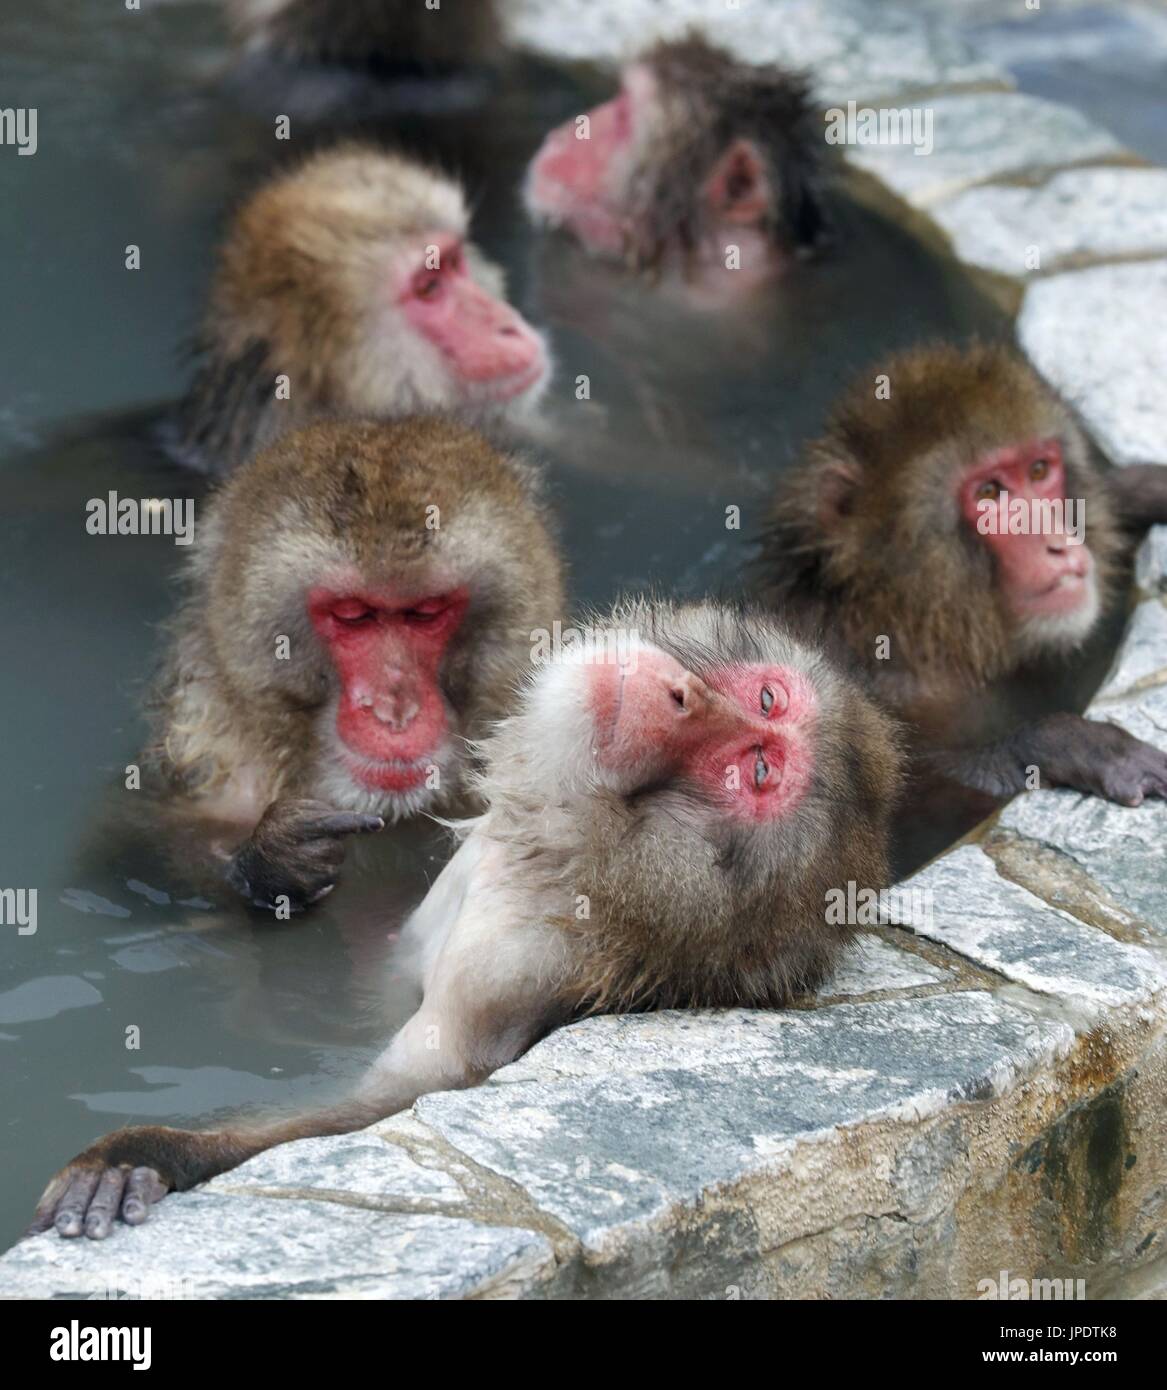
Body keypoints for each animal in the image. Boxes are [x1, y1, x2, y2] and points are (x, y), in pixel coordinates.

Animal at [28, 597, 904, 1238]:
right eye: (766, 698)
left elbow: (381, 1106)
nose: (686, 694)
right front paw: (277, 858)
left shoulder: (503, 978)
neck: (551, 865)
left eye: (752, 772)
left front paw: (143, 1158)